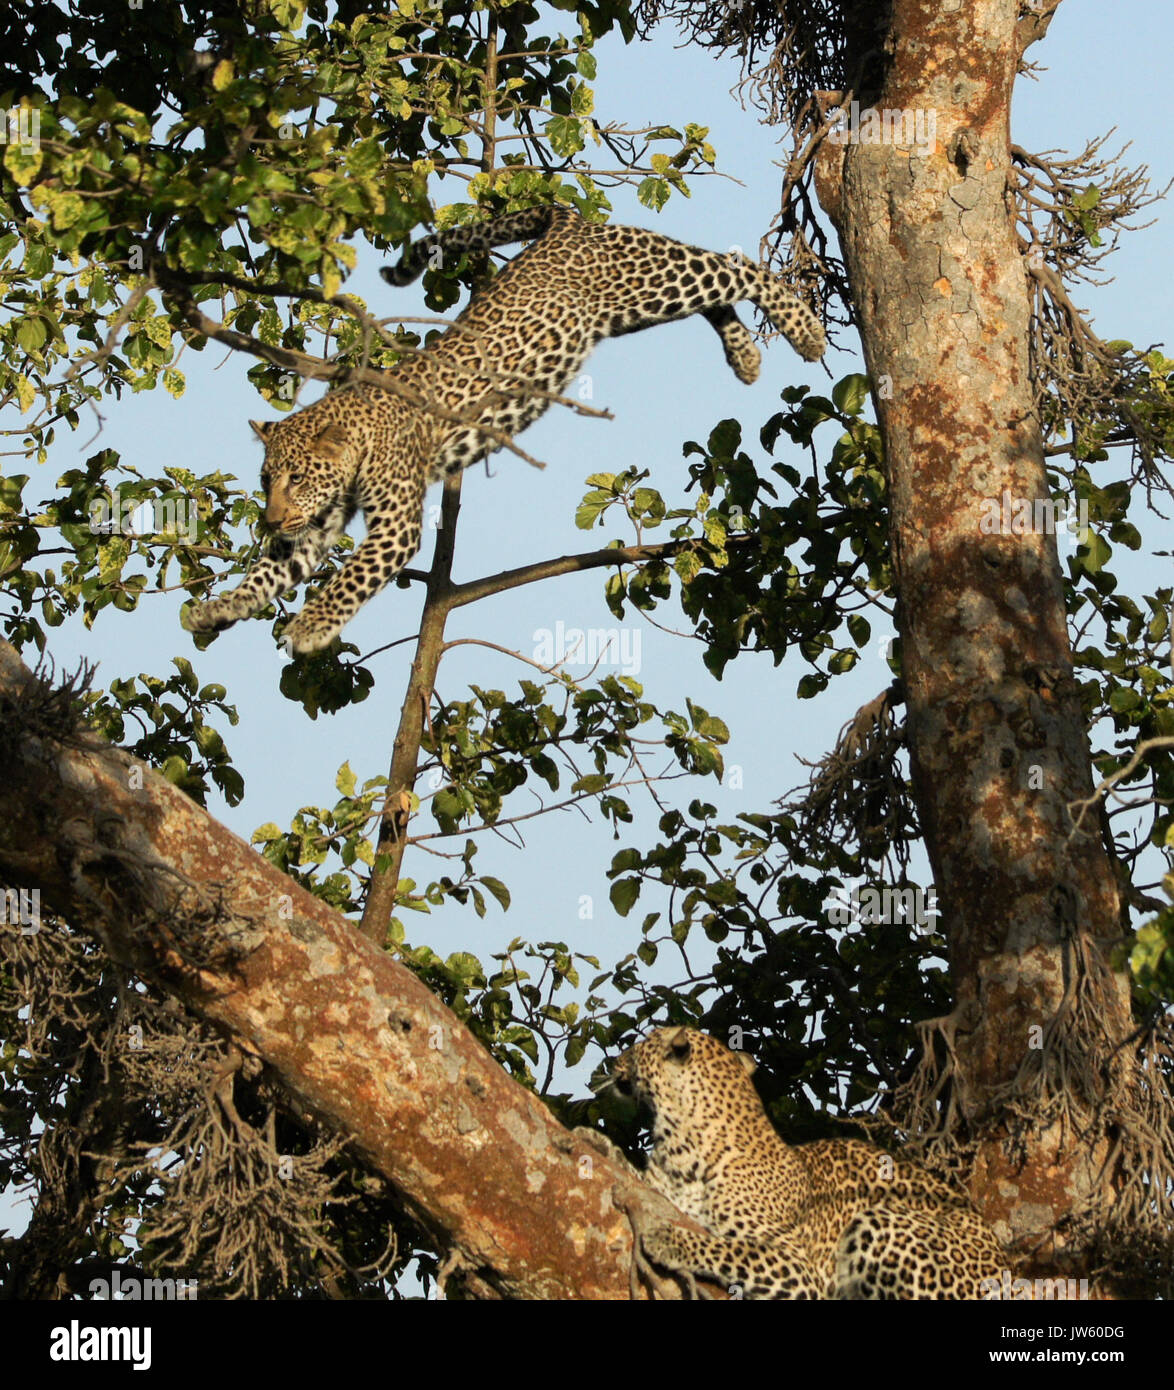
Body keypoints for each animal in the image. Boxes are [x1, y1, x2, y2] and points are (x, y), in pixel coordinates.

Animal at [181, 205, 825, 655]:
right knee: (719, 299)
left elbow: (349, 580)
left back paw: (805, 329)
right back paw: (745, 356)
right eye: (266, 480)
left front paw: (311, 626)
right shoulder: (315, 528)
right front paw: (216, 609)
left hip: (651, 278)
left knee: (736, 268)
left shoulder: (394, 527)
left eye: (295, 476)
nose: (269, 519)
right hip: (638, 310)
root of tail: (562, 224)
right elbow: (269, 573)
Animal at [606, 1026, 1008, 1300]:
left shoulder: (797, 1267)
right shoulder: (656, 1186)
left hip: (884, 1223)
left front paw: (669, 1239)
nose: (614, 1061)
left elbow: (733, 1249)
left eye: (642, 1043)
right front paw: (599, 1142)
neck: (680, 1145)